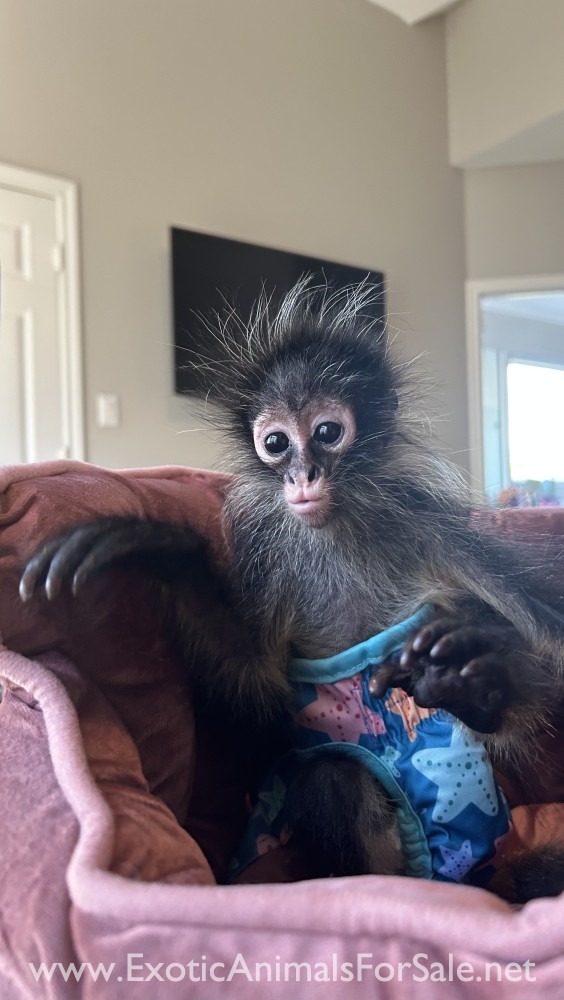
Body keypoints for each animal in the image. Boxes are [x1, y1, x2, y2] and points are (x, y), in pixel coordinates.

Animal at [18, 280, 564, 901]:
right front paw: (155, 548)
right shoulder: (271, 557)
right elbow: (256, 676)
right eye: (276, 442)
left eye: (327, 432)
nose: (301, 475)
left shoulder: (430, 525)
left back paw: (472, 689)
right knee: (331, 776)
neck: (334, 530)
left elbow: (549, 638)